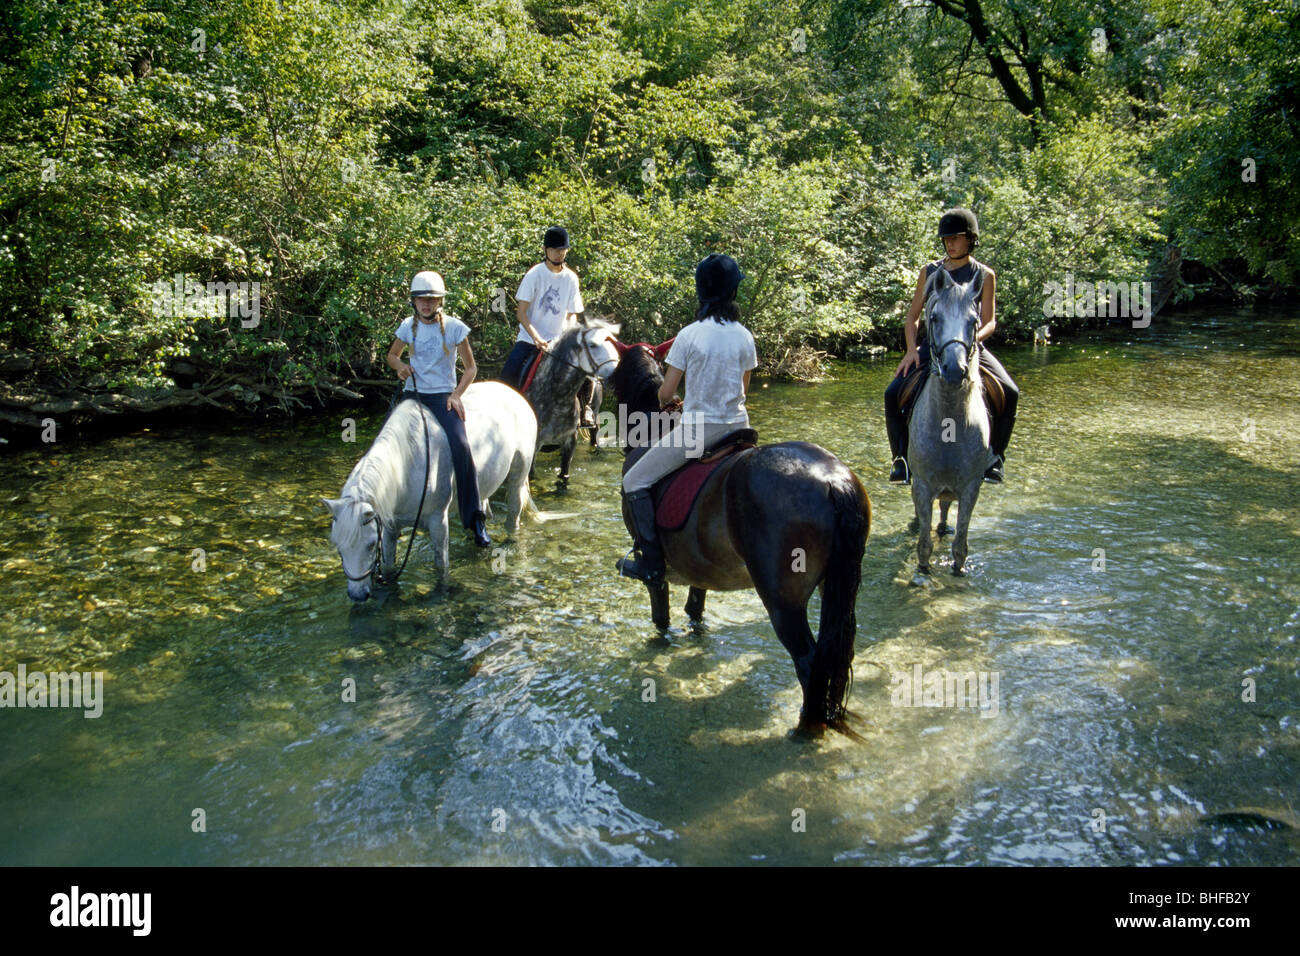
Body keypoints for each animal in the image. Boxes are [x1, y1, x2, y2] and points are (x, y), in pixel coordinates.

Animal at [322, 381, 537, 602]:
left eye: (371, 545)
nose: (357, 595)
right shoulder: (390, 526)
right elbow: (389, 566)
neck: (406, 467)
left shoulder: (438, 521)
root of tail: (513, 393)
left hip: (519, 474)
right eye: (338, 546)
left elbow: (441, 566)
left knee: (514, 510)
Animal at [518, 315, 621, 486]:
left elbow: (564, 477)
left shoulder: (570, 441)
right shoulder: (535, 443)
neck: (556, 396)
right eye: (592, 344)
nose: (616, 376)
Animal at [607, 341, 872, 734]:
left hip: (782, 599)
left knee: (808, 661)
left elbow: (660, 610)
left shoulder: (653, 562)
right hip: (835, 584)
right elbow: (695, 605)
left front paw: (659, 642)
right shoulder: (699, 562)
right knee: (836, 652)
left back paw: (805, 729)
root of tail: (831, 480)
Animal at [907, 266, 994, 576]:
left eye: (974, 321)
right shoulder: (922, 485)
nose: (955, 370)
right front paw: (923, 571)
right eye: (934, 318)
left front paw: (957, 571)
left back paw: (944, 526)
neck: (950, 427)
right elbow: (924, 544)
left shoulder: (971, 488)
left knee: (945, 507)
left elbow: (961, 546)